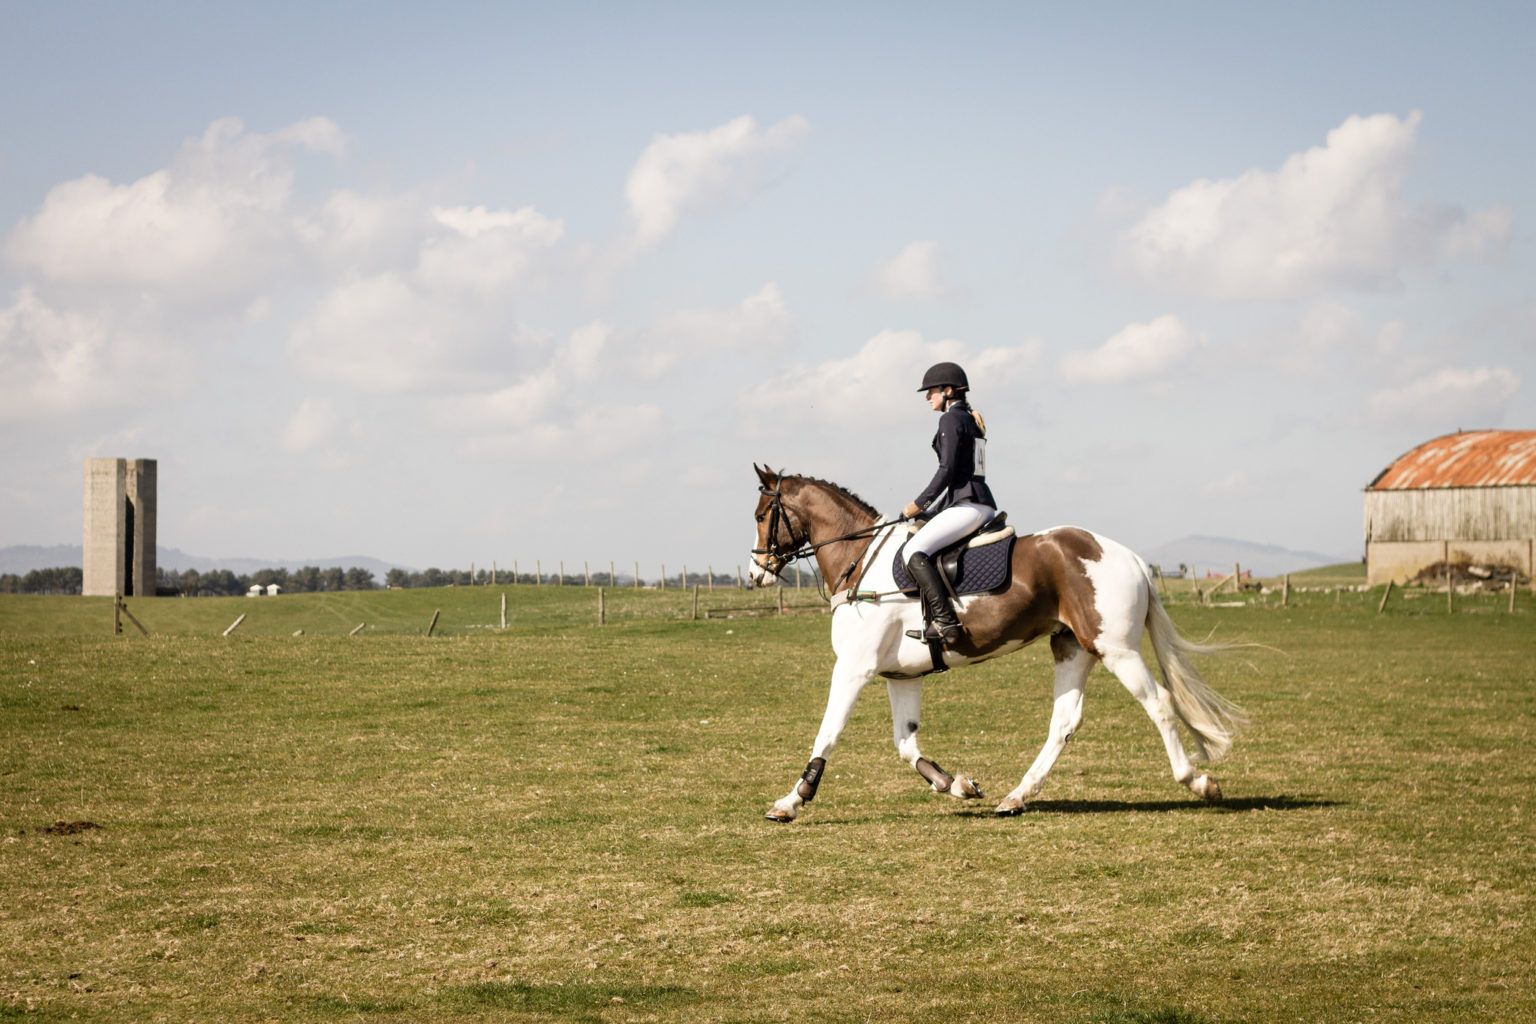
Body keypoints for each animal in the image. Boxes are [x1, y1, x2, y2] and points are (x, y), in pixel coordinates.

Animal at [747, 465, 1248, 821]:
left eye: (760, 516)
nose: (755, 573)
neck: (860, 561)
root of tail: (1132, 558)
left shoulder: (853, 668)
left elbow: (828, 732)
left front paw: (791, 800)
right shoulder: (901, 675)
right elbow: (906, 744)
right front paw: (957, 785)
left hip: (1116, 649)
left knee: (1159, 703)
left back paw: (1199, 782)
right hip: (1071, 647)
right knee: (1064, 722)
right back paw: (1017, 796)